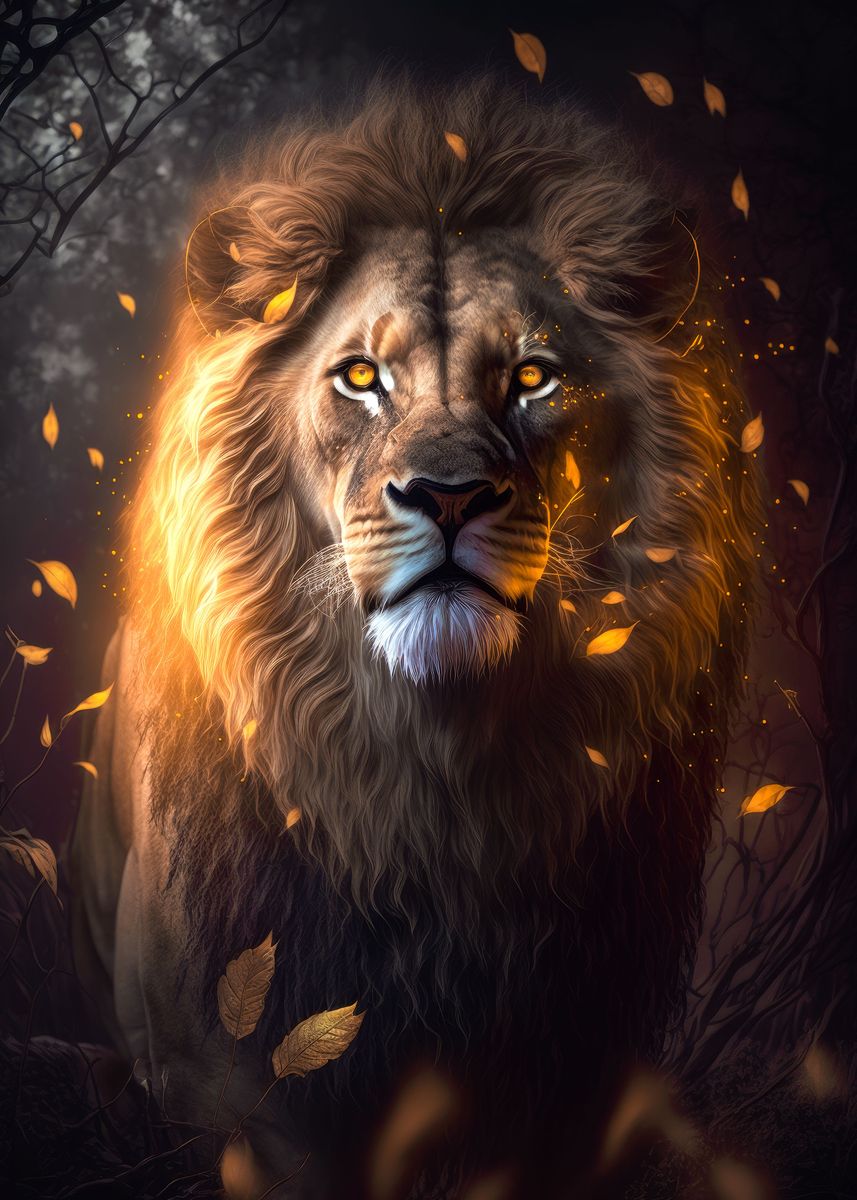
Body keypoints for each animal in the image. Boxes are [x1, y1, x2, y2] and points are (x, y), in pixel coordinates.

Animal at [71, 78, 761, 1197]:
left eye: (532, 377)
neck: (434, 795)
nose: (446, 496)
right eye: (359, 377)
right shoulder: (227, 1082)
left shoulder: (577, 1072)